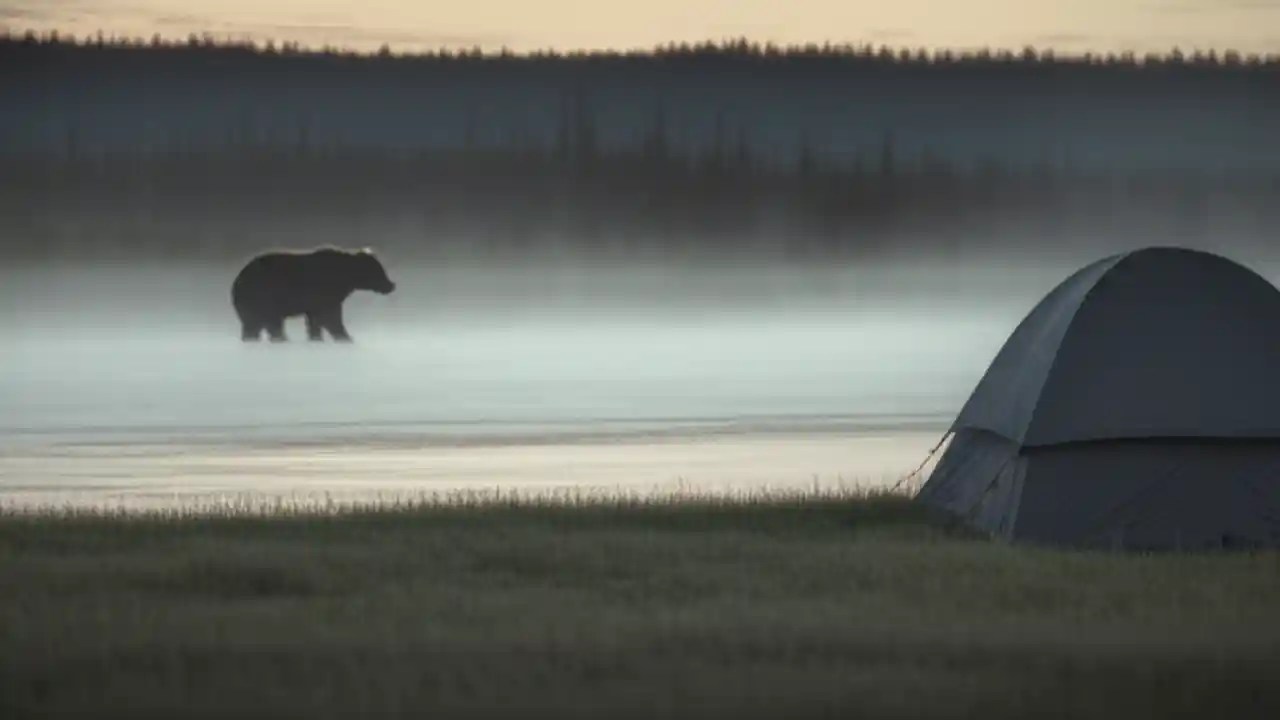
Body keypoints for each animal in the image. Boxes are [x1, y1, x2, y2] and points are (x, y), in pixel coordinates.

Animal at [231, 247, 396, 342]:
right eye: (379, 271)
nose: (391, 285)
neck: (344, 277)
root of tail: (237, 280)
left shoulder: (314, 303)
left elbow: (315, 320)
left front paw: (316, 337)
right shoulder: (323, 294)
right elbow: (331, 317)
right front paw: (345, 337)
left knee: (253, 324)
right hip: (264, 297)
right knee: (270, 323)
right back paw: (280, 339)